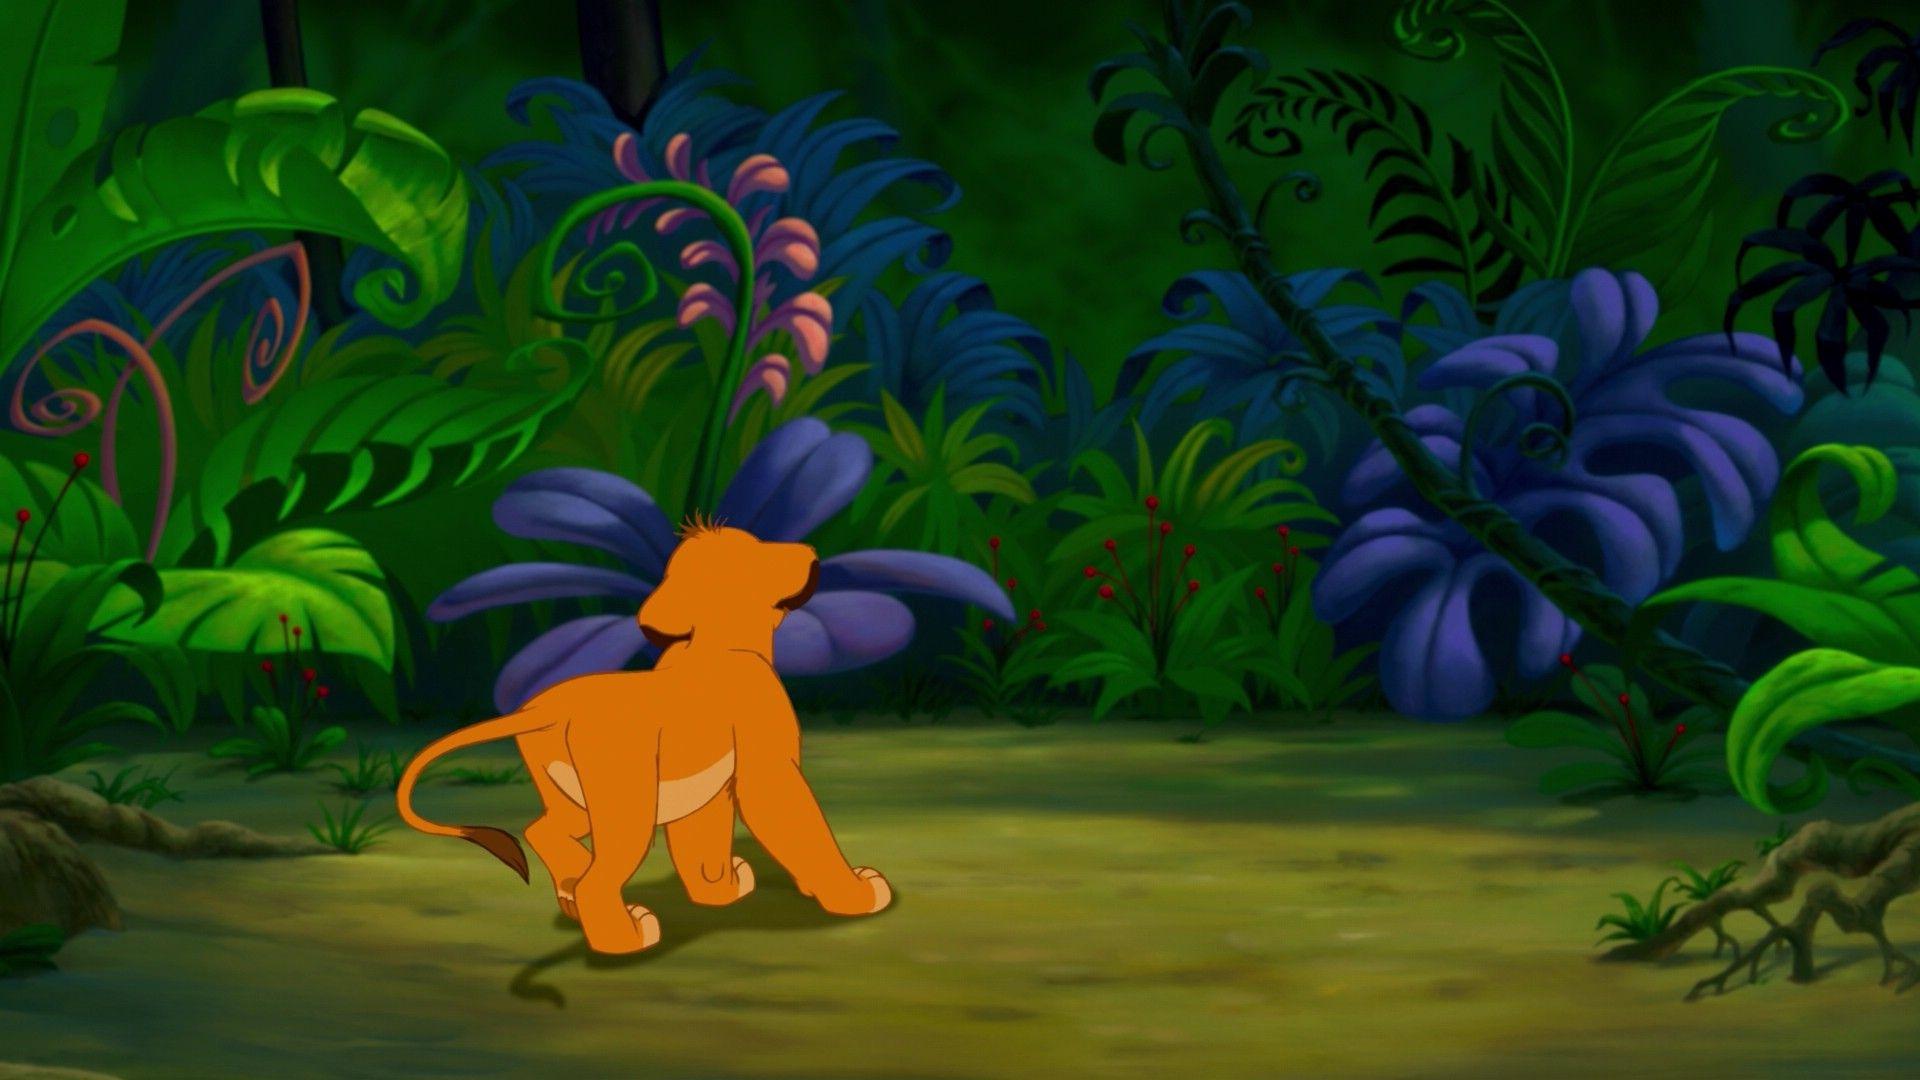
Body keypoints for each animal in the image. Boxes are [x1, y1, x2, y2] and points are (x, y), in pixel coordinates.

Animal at [395, 518, 892, 955]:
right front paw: (858, 894)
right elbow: (804, 828)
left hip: (574, 800)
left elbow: (703, 843)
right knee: (596, 876)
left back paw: (572, 890)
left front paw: (720, 891)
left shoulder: (707, 787)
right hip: (627, 802)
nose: (810, 551)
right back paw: (622, 935)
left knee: (542, 831)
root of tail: (545, 708)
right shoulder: (767, 770)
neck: (718, 641)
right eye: (756, 554)